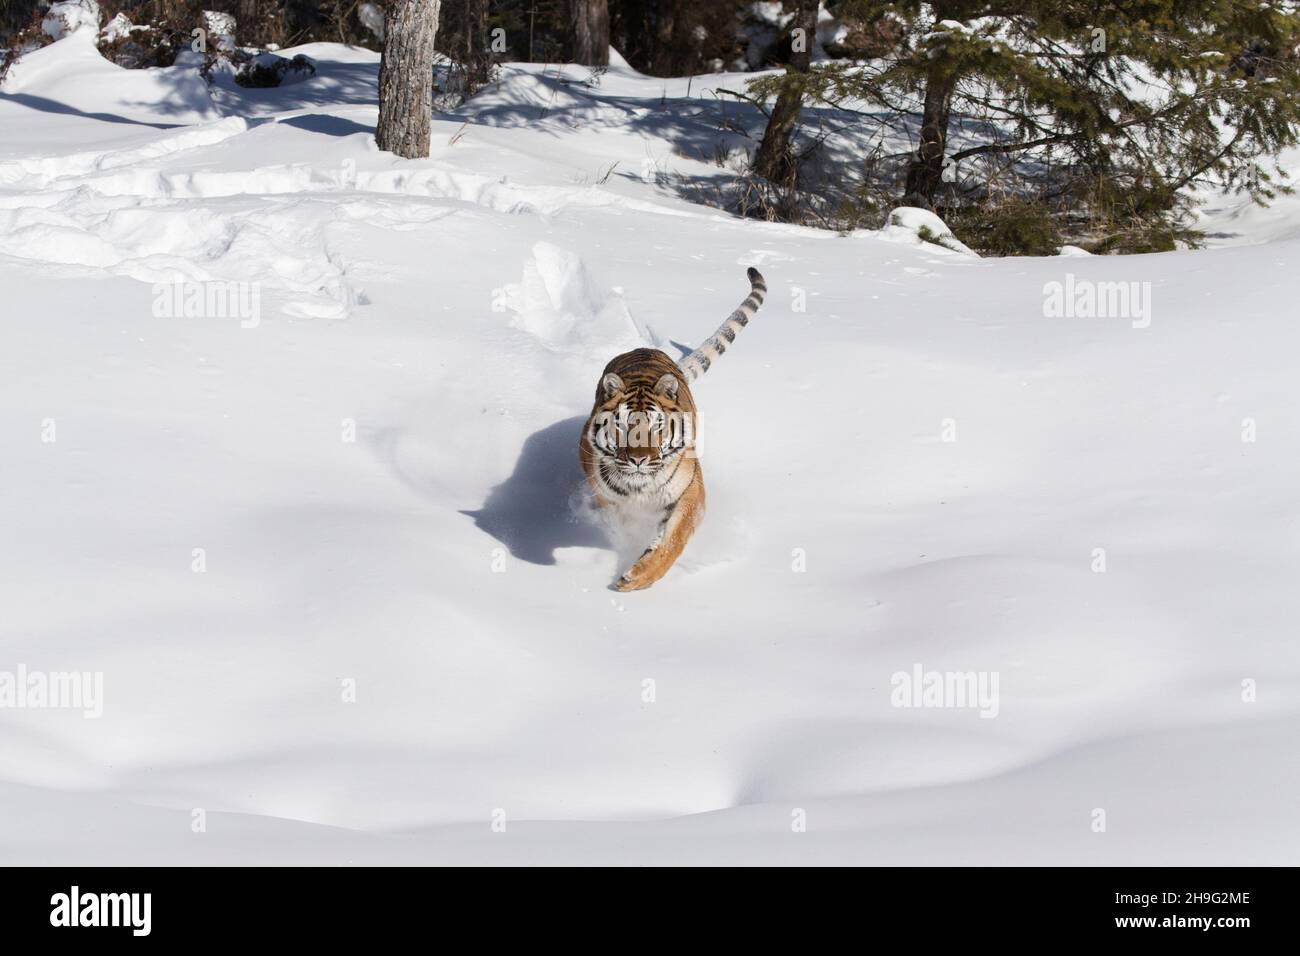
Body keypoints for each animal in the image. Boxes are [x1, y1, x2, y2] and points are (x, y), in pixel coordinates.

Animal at [579, 267, 767, 591]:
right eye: (622, 425)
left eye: (657, 426)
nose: (638, 460)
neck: (640, 488)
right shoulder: (609, 499)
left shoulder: (691, 493)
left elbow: (672, 540)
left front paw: (636, 578)